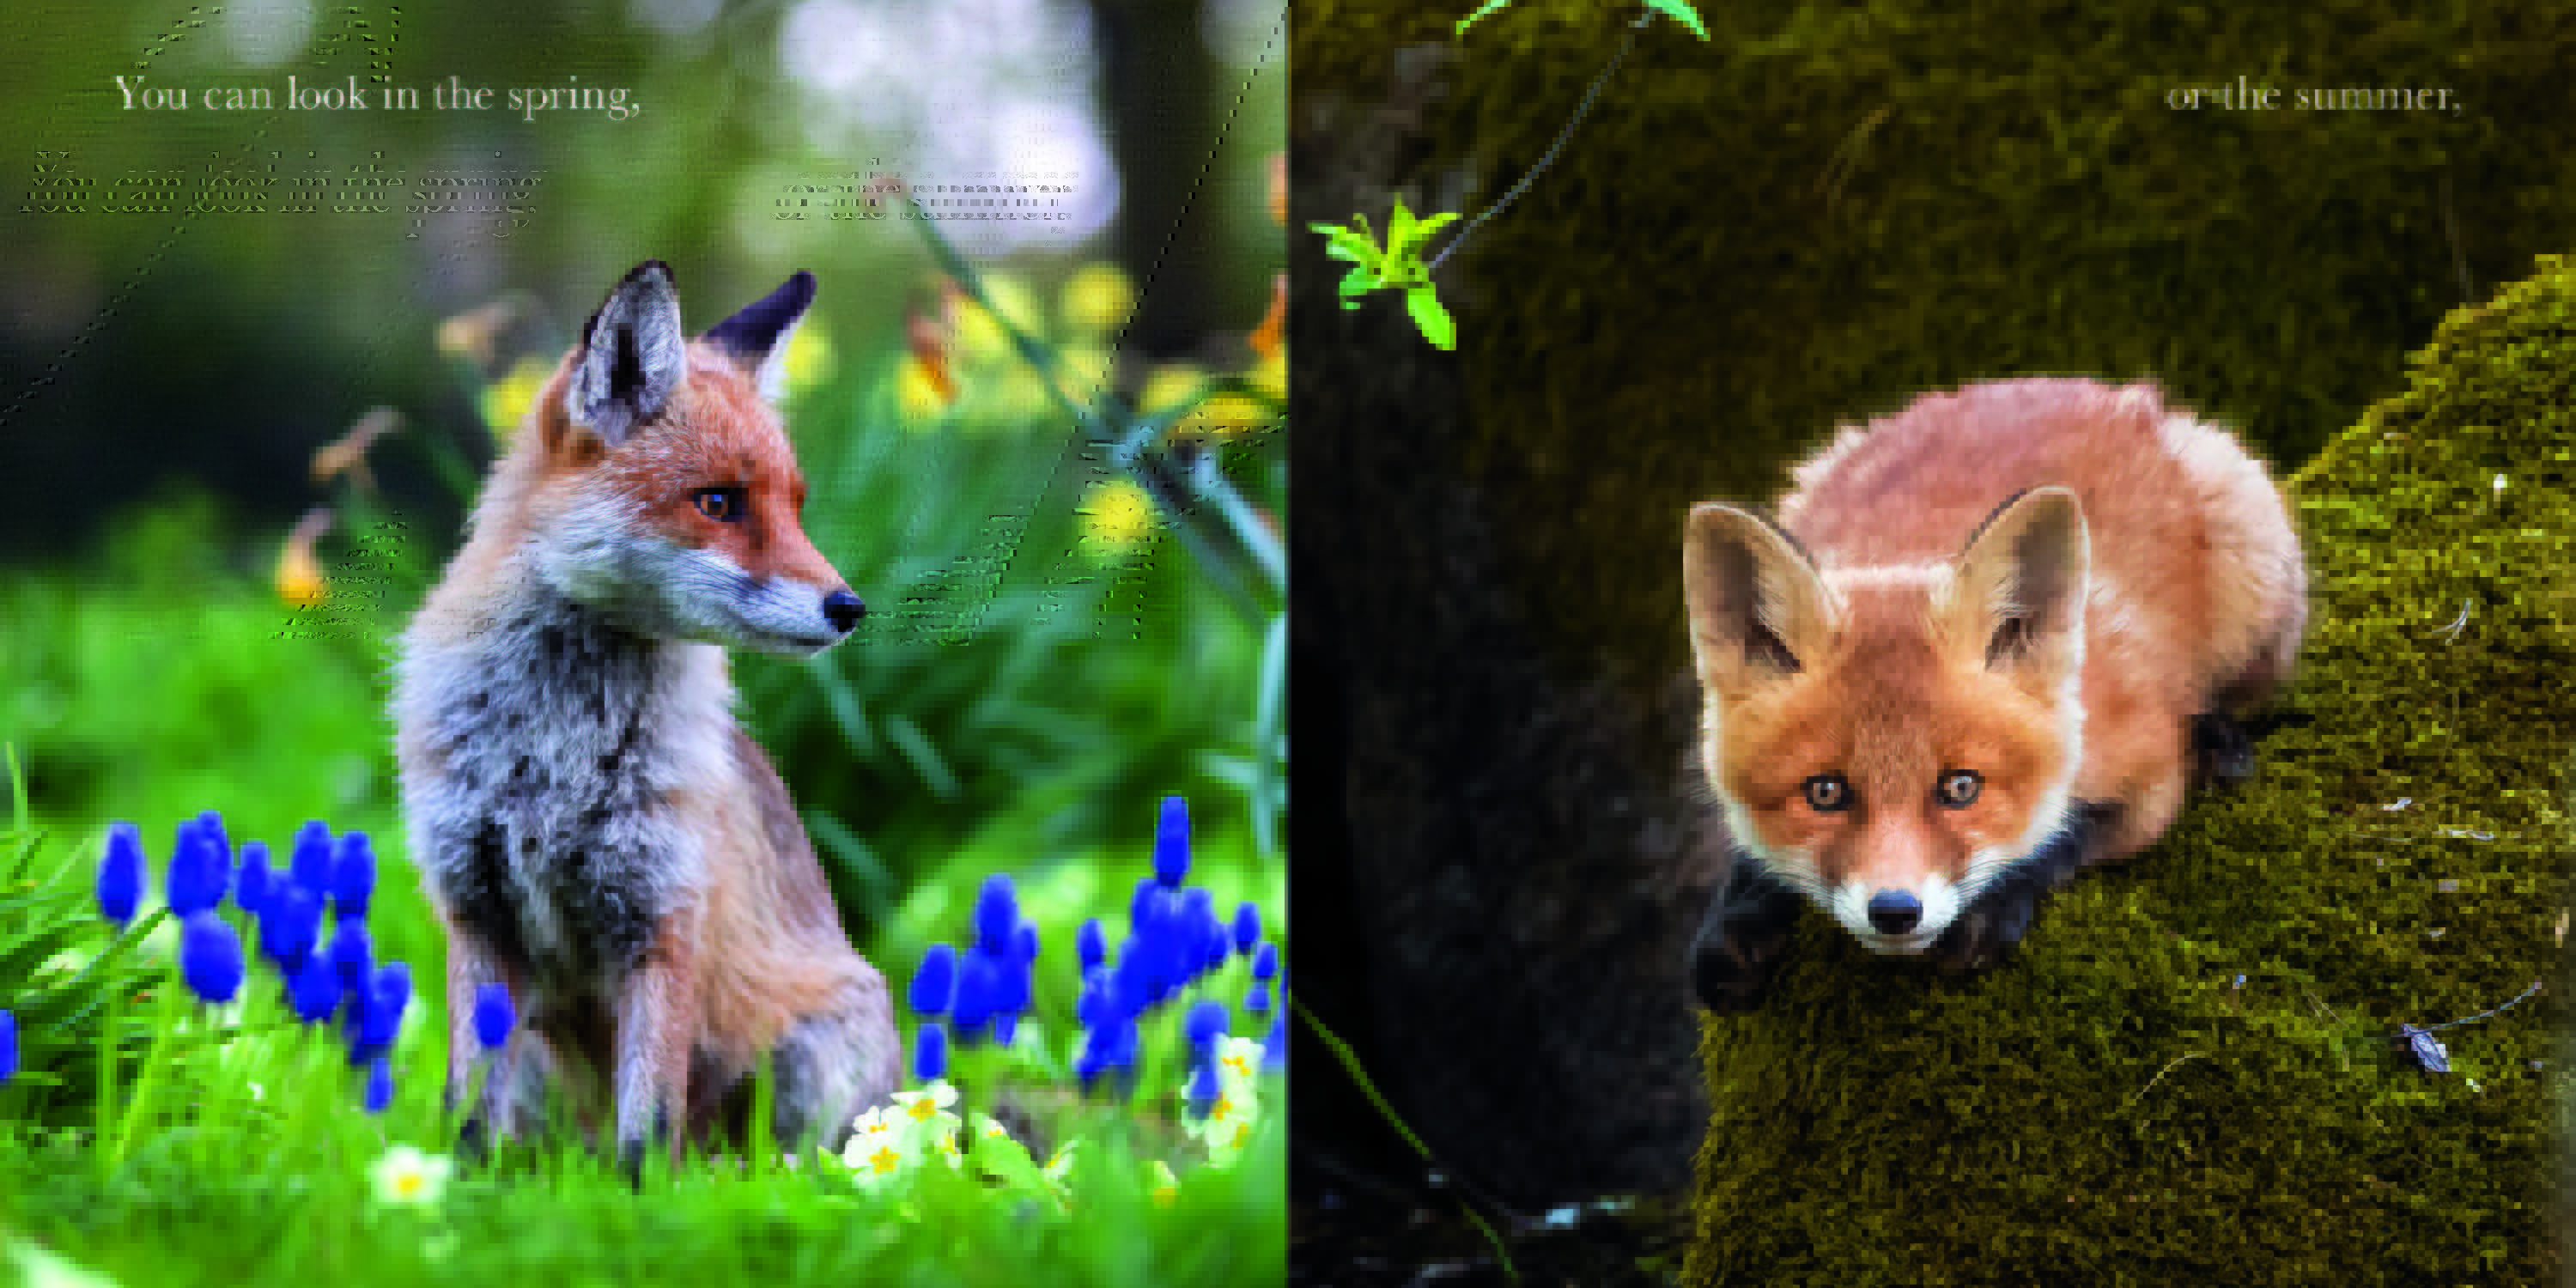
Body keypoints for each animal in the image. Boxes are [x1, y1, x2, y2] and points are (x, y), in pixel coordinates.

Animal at [393, 260, 902, 1178]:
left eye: (796, 505)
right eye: (719, 502)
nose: (849, 608)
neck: (555, 752)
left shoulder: (663, 918)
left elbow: (647, 1127)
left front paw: (638, 1207)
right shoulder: (474, 908)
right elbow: (469, 1116)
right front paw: (452, 1195)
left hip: (810, 1066)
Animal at [1682, 378, 2306, 1011]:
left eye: (1961, 787)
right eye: (1824, 792)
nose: (1895, 911)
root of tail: (2106, 388)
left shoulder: (2148, 769)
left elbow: (2067, 836)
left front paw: (1997, 905)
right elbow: (1752, 860)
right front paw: (1740, 921)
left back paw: (2221, 738)